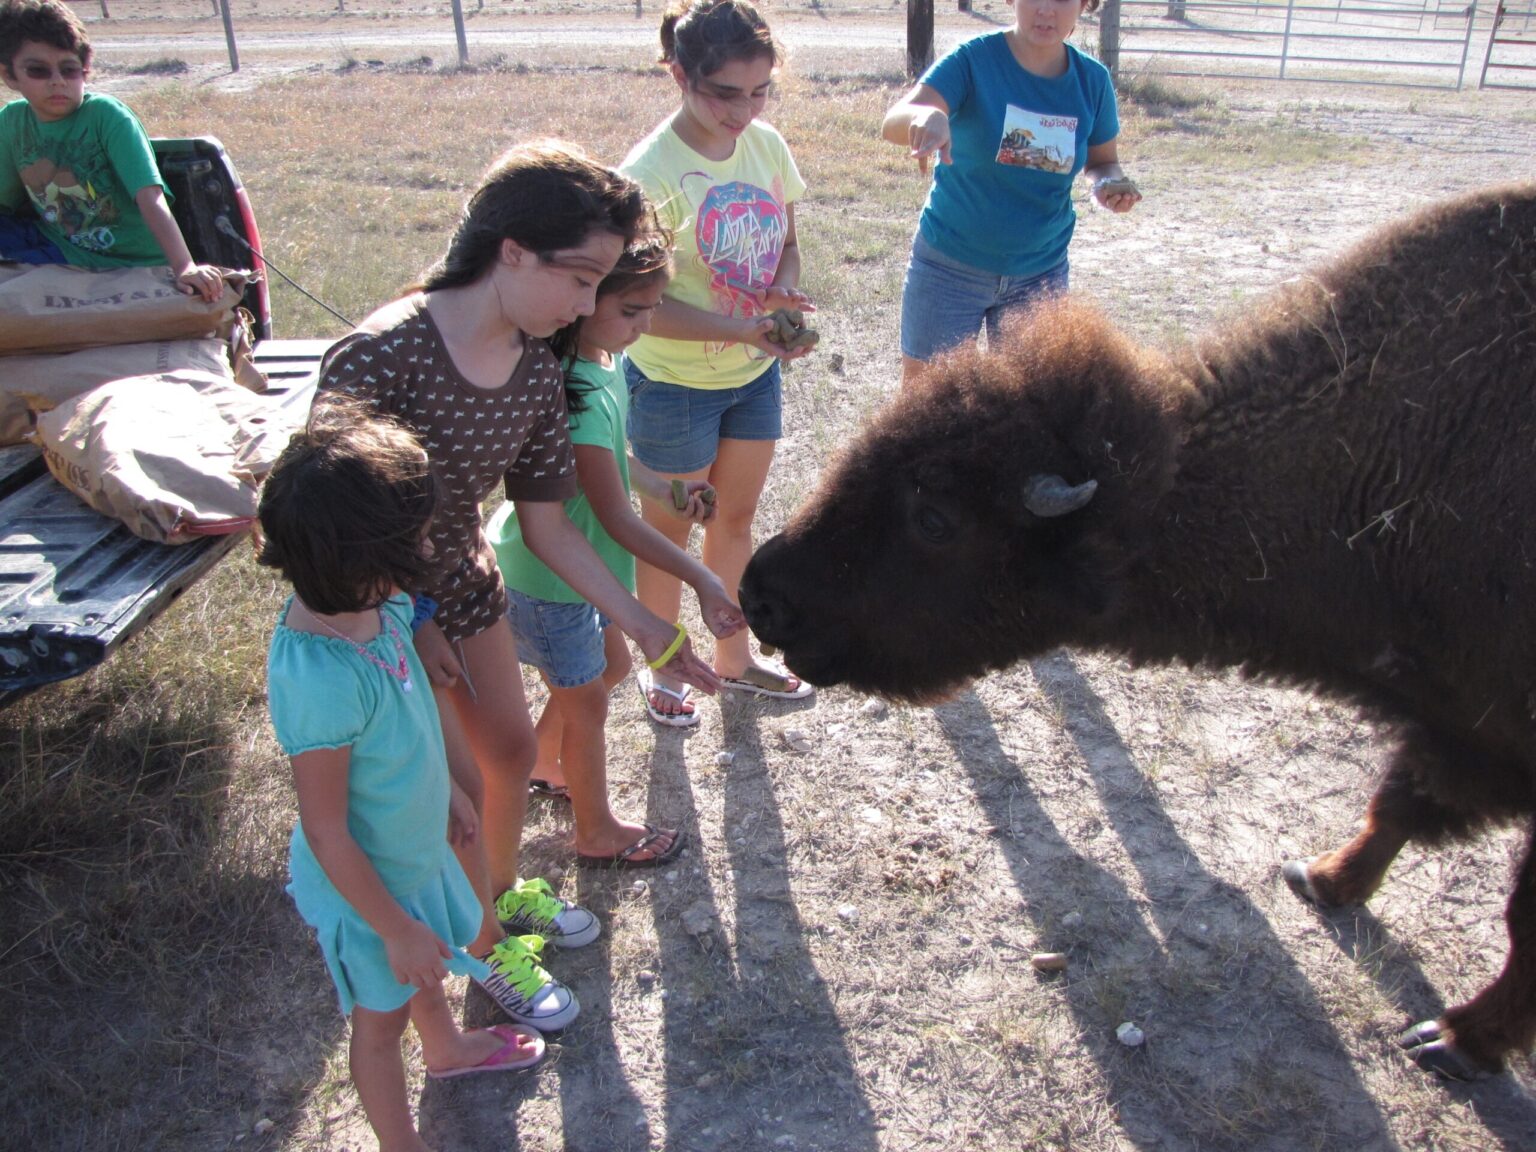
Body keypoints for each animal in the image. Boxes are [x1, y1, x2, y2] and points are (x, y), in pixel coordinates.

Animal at [740, 183, 1536, 1079]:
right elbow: (1397, 801)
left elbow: (1515, 912)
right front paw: (1323, 880)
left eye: (936, 517)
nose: (761, 592)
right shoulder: (1460, 728)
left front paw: (1454, 1038)